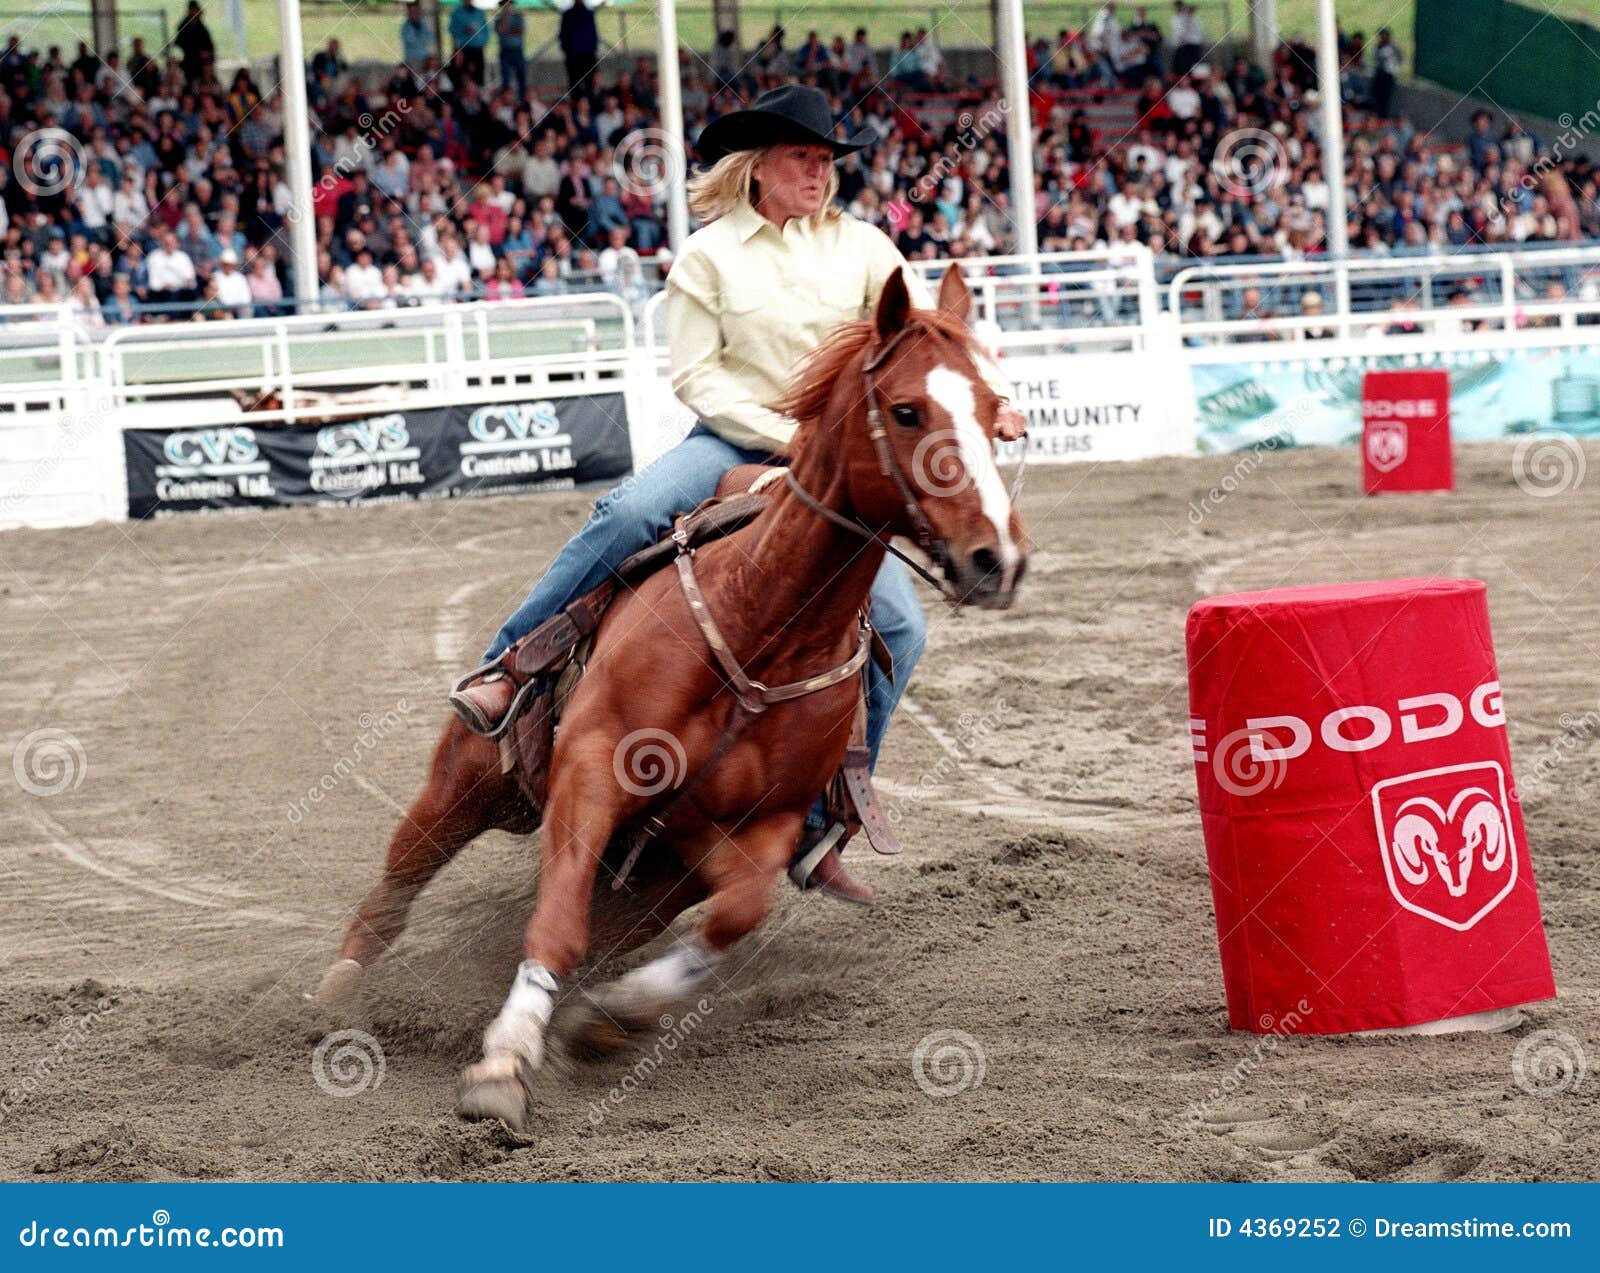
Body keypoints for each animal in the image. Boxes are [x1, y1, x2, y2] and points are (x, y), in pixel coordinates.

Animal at [308, 264, 1030, 1126]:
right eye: (908, 409)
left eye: (993, 409)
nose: (997, 560)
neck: (761, 622)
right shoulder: (589, 771)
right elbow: (556, 925)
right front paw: (504, 1063)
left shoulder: (756, 832)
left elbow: (734, 917)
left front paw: (610, 1017)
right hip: (467, 783)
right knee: (400, 883)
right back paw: (338, 991)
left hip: (649, 883)